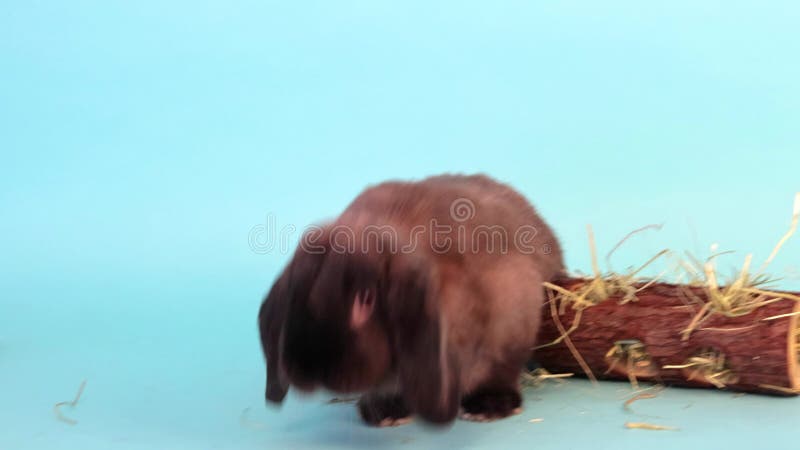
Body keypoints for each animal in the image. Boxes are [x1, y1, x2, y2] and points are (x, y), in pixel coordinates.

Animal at [258, 174, 564, 426]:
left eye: (366, 300)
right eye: (297, 294)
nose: (309, 371)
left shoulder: (511, 321)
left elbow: (501, 368)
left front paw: (488, 408)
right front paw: (384, 412)